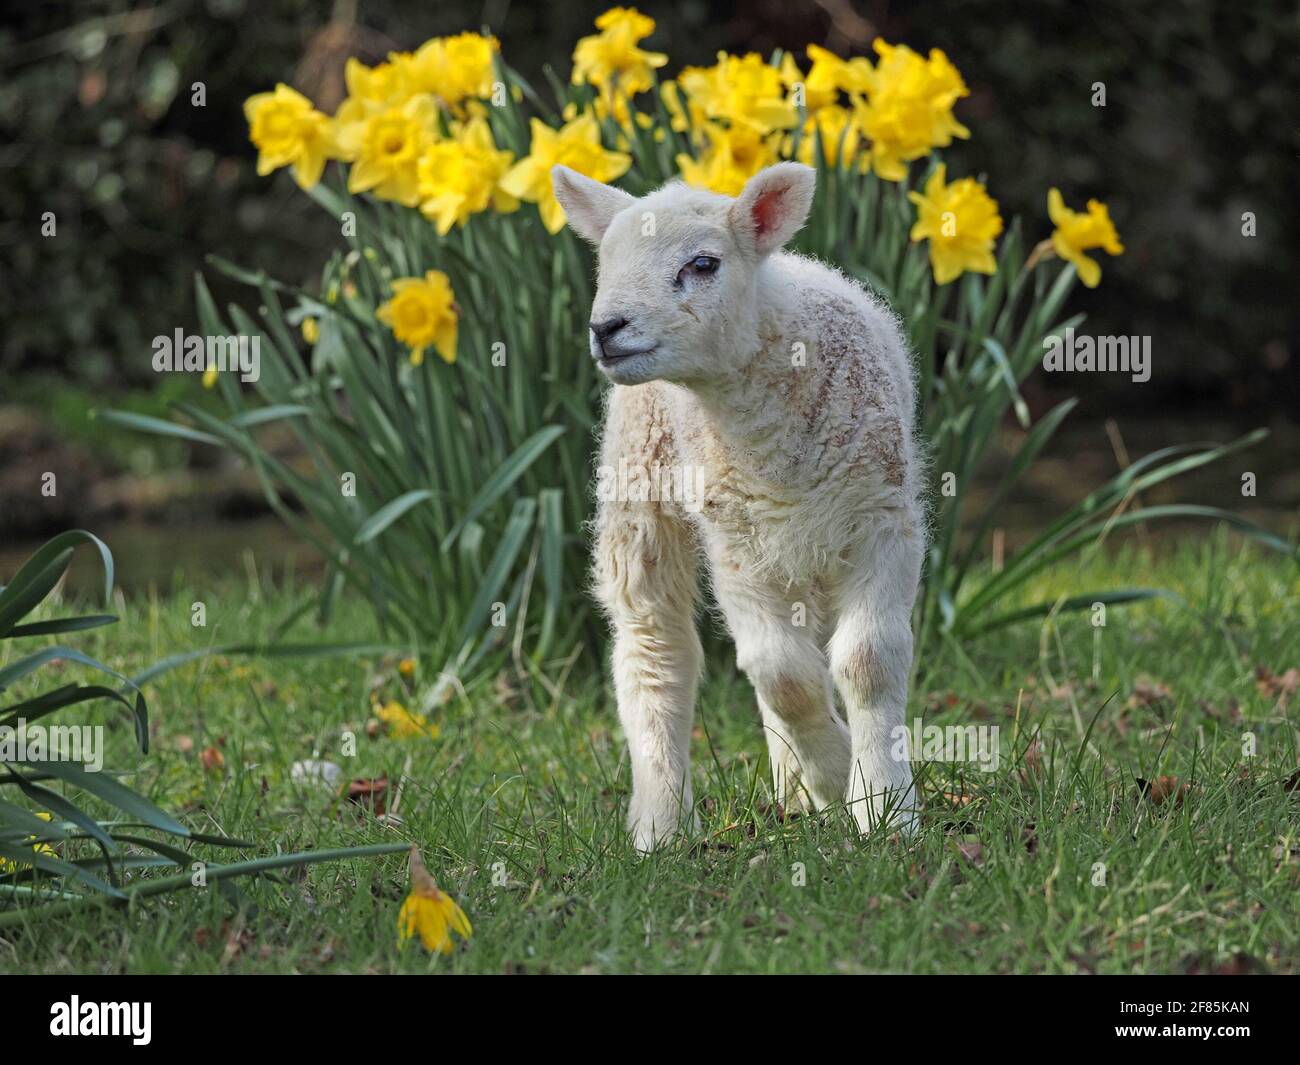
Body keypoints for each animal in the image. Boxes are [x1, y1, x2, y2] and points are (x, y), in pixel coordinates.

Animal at [551, 161, 925, 851]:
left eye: (703, 263)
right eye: (605, 263)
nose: (606, 329)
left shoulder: (882, 519)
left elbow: (865, 660)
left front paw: (885, 807)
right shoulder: (735, 545)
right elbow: (782, 674)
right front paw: (837, 774)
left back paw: (791, 791)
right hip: (640, 485)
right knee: (657, 650)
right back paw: (662, 826)